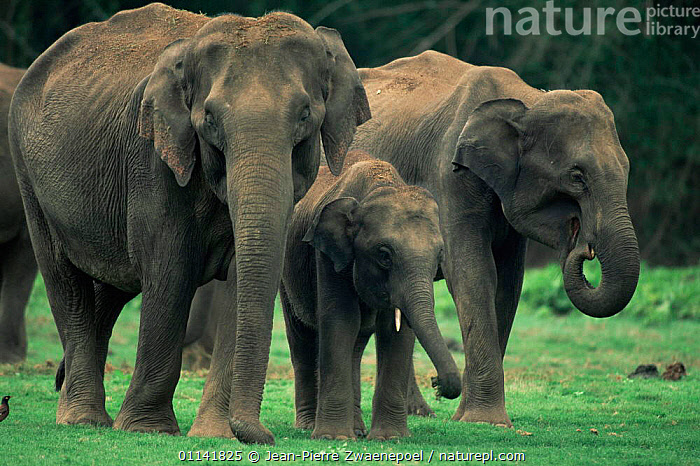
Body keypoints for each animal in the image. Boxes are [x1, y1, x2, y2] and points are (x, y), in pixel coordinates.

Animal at [8, 3, 369, 444]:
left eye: (305, 115)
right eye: (210, 119)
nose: (267, 435)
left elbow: (240, 279)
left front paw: (215, 434)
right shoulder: (153, 161)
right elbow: (171, 272)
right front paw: (149, 429)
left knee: (111, 287)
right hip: (28, 175)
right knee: (64, 279)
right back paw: (83, 420)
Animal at [280, 150, 460, 440]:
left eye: (439, 257)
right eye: (384, 256)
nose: (436, 383)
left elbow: (396, 331)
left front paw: (390, 438)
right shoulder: (329, 256)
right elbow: (341, 321)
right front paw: (333, 437)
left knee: (357, 342)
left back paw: (357, 429)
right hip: (288, 274)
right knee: (302, 337)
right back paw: (309, 426)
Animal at [349, 51, 640, 427]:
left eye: (628, 169)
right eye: (577, 177)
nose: (584, 247)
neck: (527, 100)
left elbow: (509, 281)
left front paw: (472, 416)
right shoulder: (450, 175)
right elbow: (472, 272)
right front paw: (483, 421)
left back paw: (421, 412)